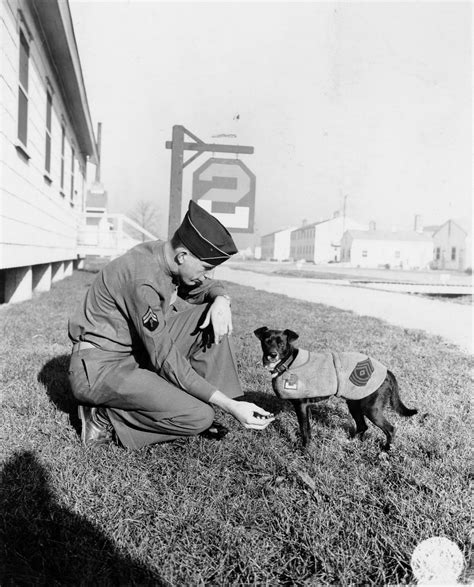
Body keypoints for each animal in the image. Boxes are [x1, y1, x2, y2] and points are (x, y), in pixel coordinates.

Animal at [254, 326, 416, 450]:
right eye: (266, 342)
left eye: (281, 344)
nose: (272, 355)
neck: (288, 362)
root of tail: (387, 371)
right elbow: (307, 428)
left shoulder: (301, 406)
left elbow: (304, 429)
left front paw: (304, 449)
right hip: (354, 404)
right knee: (363, 426)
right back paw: (351, 442)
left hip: (371, 409)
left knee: (390, 429)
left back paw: (386, 450)